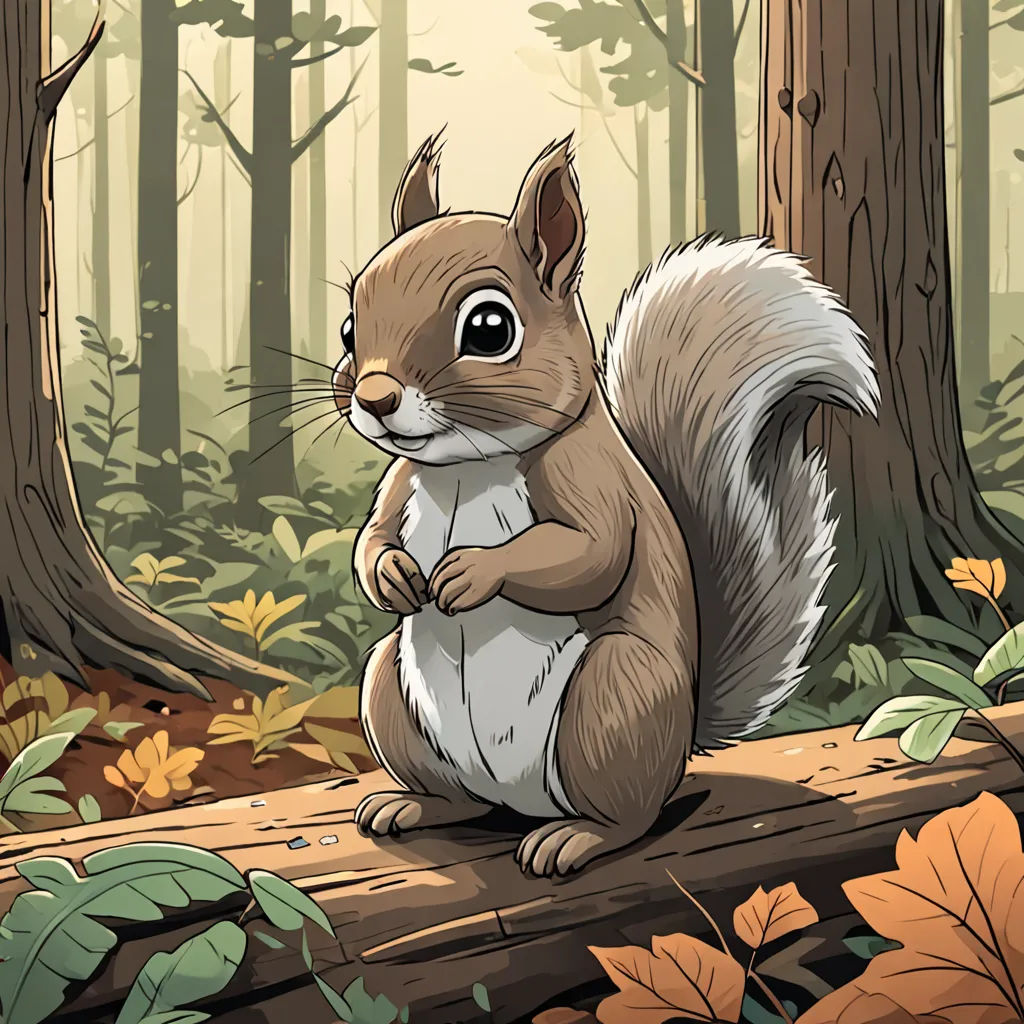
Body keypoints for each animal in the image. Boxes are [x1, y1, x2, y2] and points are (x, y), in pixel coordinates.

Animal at [333, 133, 879, 878]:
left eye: (489, 328)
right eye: (348, 329)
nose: (376, 398)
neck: (466, 467)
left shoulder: (591, 480)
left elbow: (589, 554)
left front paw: (471, 573)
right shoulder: (400, 484)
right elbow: (372, 539)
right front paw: (391, 575)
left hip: (613, 701)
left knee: (630, 815)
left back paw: (574, 839)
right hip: (390, 692)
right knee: (462, 801)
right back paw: (412, 804)